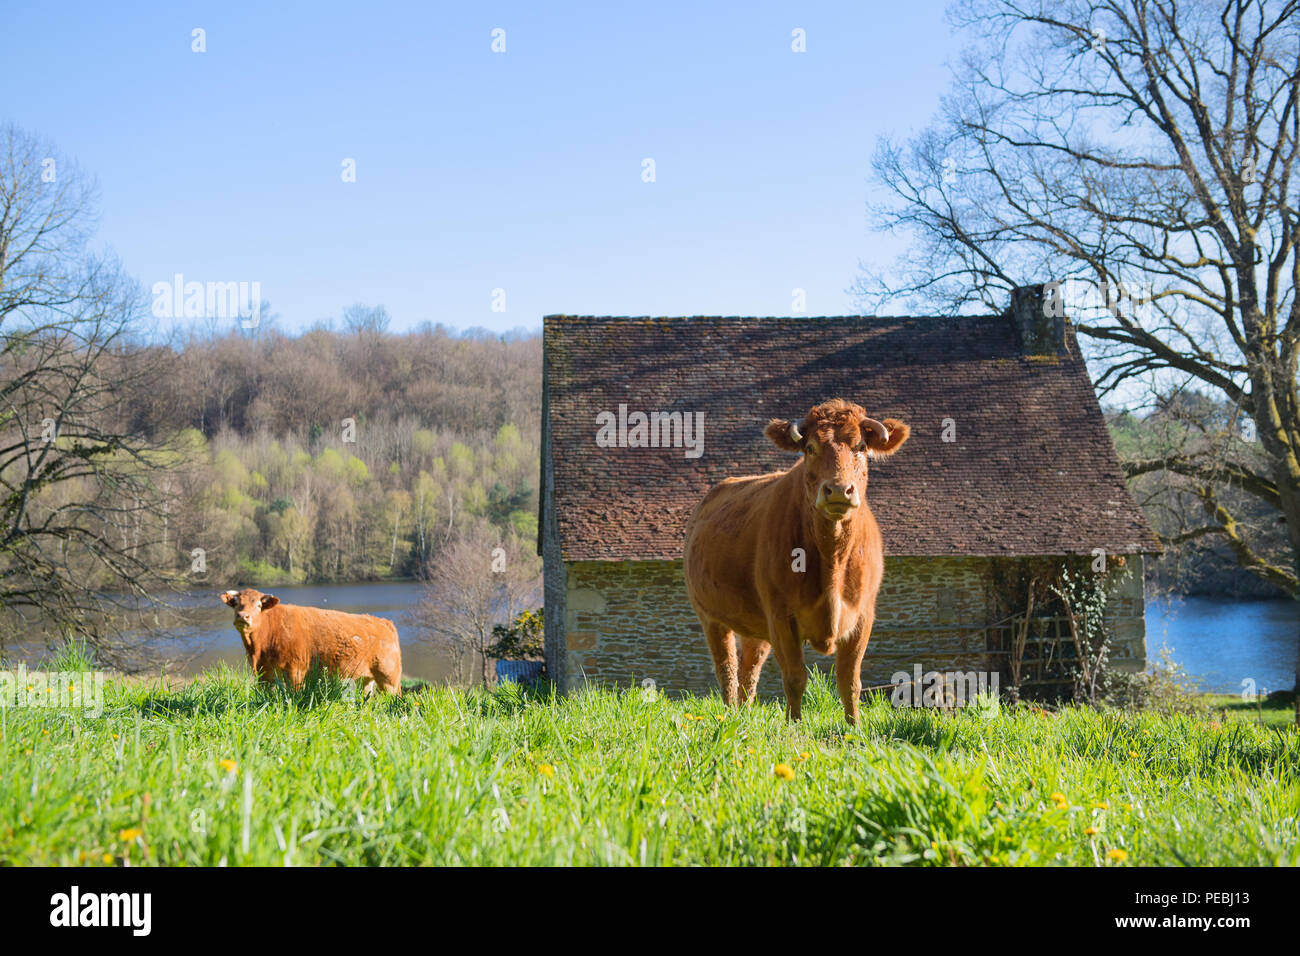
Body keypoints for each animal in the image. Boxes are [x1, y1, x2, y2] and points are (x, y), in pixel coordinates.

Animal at [220, 588, 402, 695]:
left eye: (258, 605)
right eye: (236, 604)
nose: (242, 616)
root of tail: (383, 621)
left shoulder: (295, 670)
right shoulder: (264, 673)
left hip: (389, 679)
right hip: (366, 679)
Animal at [683, 399, 910, 724]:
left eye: (861, 446)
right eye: (811, 448)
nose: (838, 489)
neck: (832, 558)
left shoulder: (863, 616)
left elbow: (850, 681)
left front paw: (854, 727)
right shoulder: (781, 616)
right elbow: (794, 677)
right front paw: (795, 725)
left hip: (756, 626)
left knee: (749, 671)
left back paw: (744, 717)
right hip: (711, 617)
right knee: (727, 669)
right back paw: (730, 715)